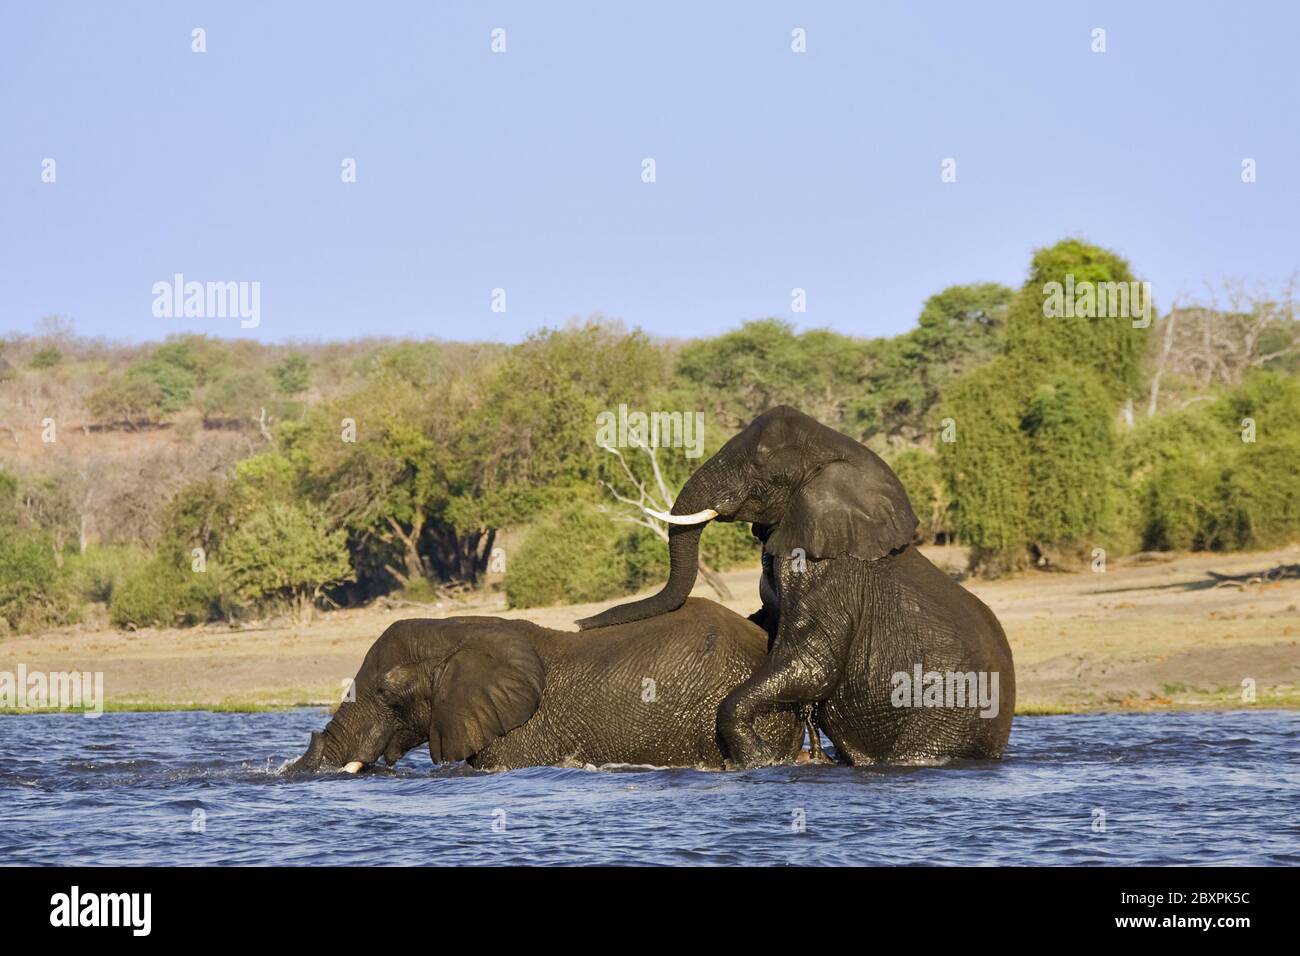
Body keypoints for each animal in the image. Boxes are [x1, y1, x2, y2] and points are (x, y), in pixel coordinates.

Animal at [577, 406, 1015, 768]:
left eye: (759, 463)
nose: (581, 624)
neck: (836, 452)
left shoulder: (829, 573)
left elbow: (812, 665)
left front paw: (757, 760)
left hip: (945, 717)